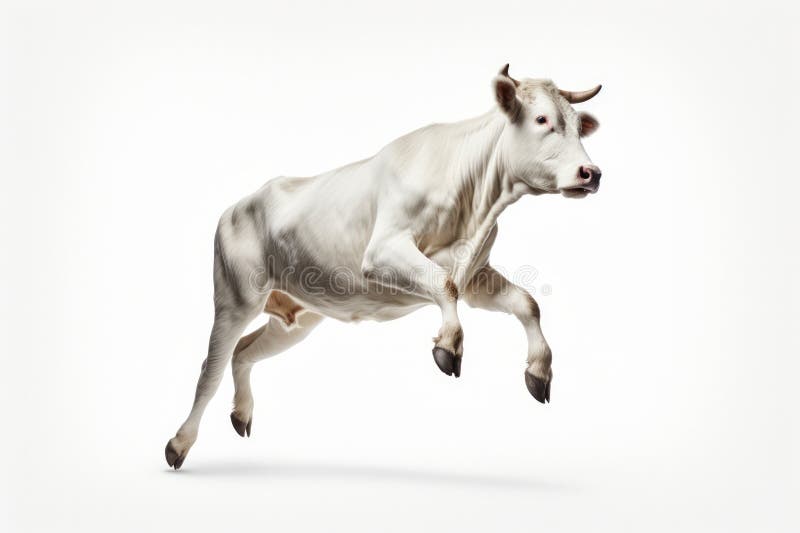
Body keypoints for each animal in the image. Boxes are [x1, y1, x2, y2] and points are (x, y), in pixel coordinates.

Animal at [165, 64, 602, 469]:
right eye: (542, 119)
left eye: (578, 126)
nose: (592, 173)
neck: (475, 205)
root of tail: (239, 204)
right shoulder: (383, 250)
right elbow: (444, 285)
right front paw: (448, 346)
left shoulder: (477, 277)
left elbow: (527, 303)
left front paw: (539, 371)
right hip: (235, 297)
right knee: (210, 369)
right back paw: (178, 444)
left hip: (296, 319)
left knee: (243, 352)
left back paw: (241, 414)